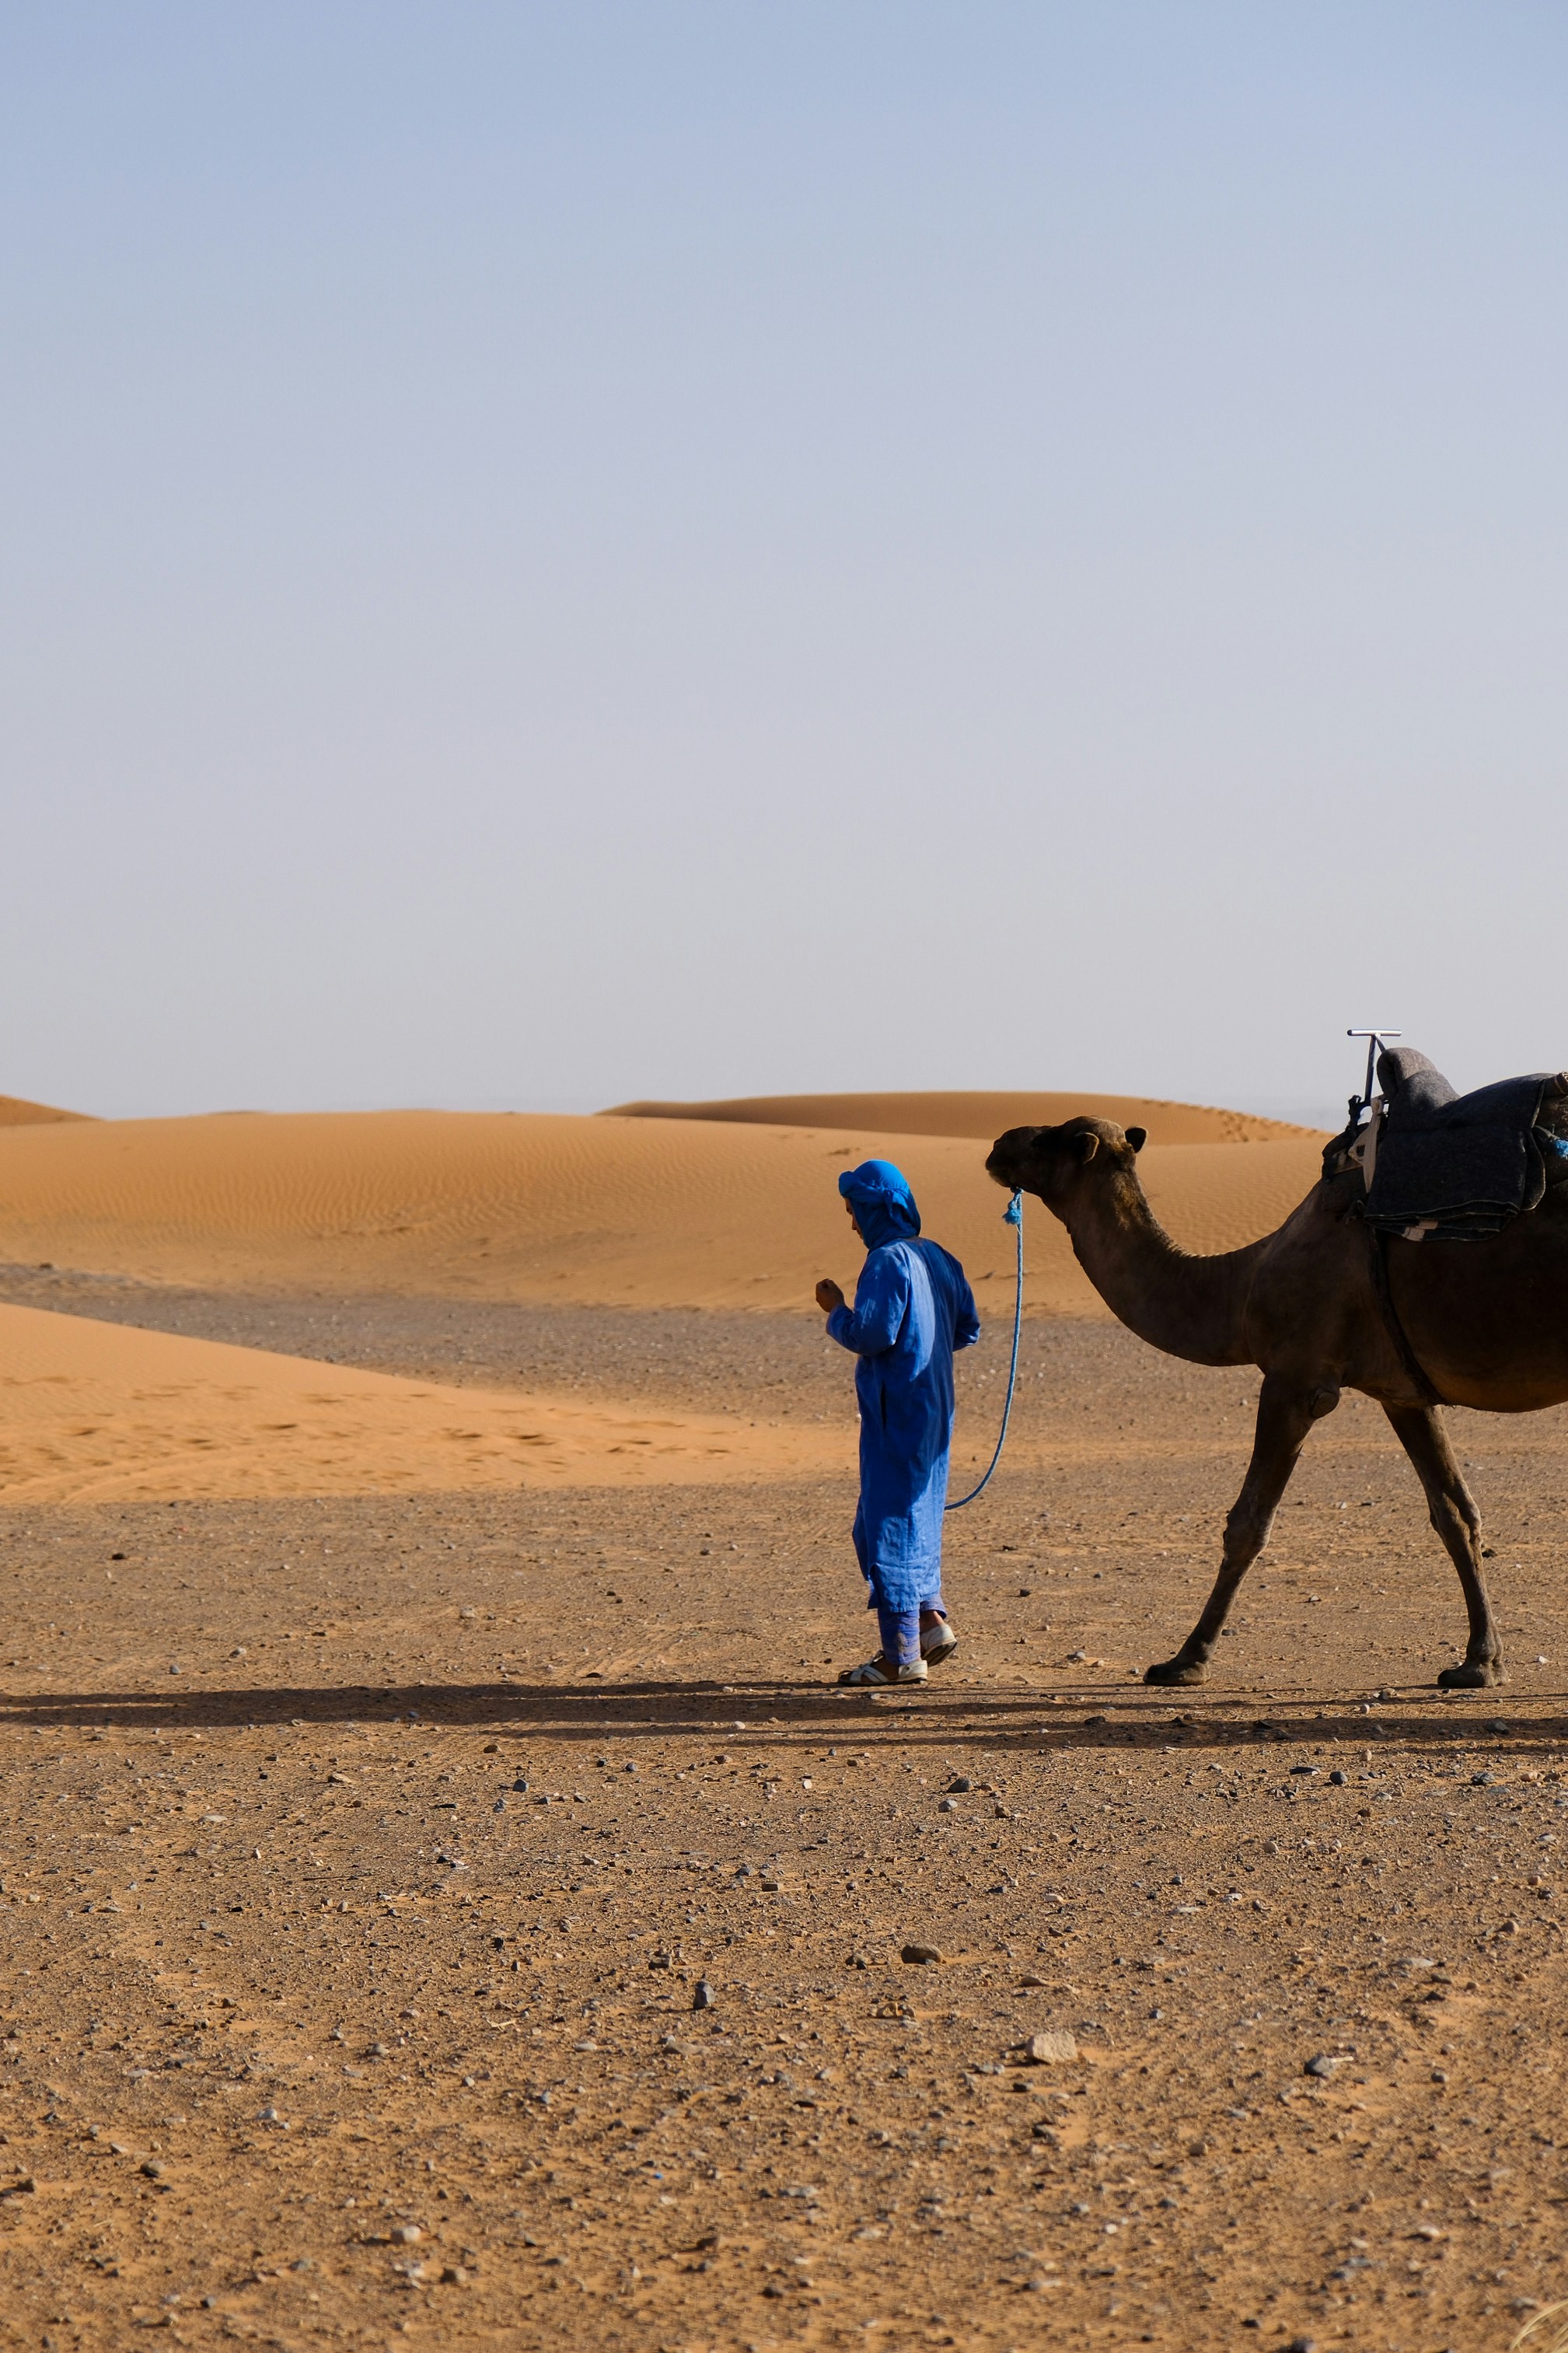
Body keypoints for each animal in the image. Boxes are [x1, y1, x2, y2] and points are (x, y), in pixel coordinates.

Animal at [984, 1113, 1568, 1689]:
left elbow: (1246, 1524)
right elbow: (1454, 1513)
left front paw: (1186, 1660)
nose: (997, 1145)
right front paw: (1480, 1661)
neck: (1240, 1284)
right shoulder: (1402, 1392)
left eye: (1050, 1139)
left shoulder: (1295, 1380)